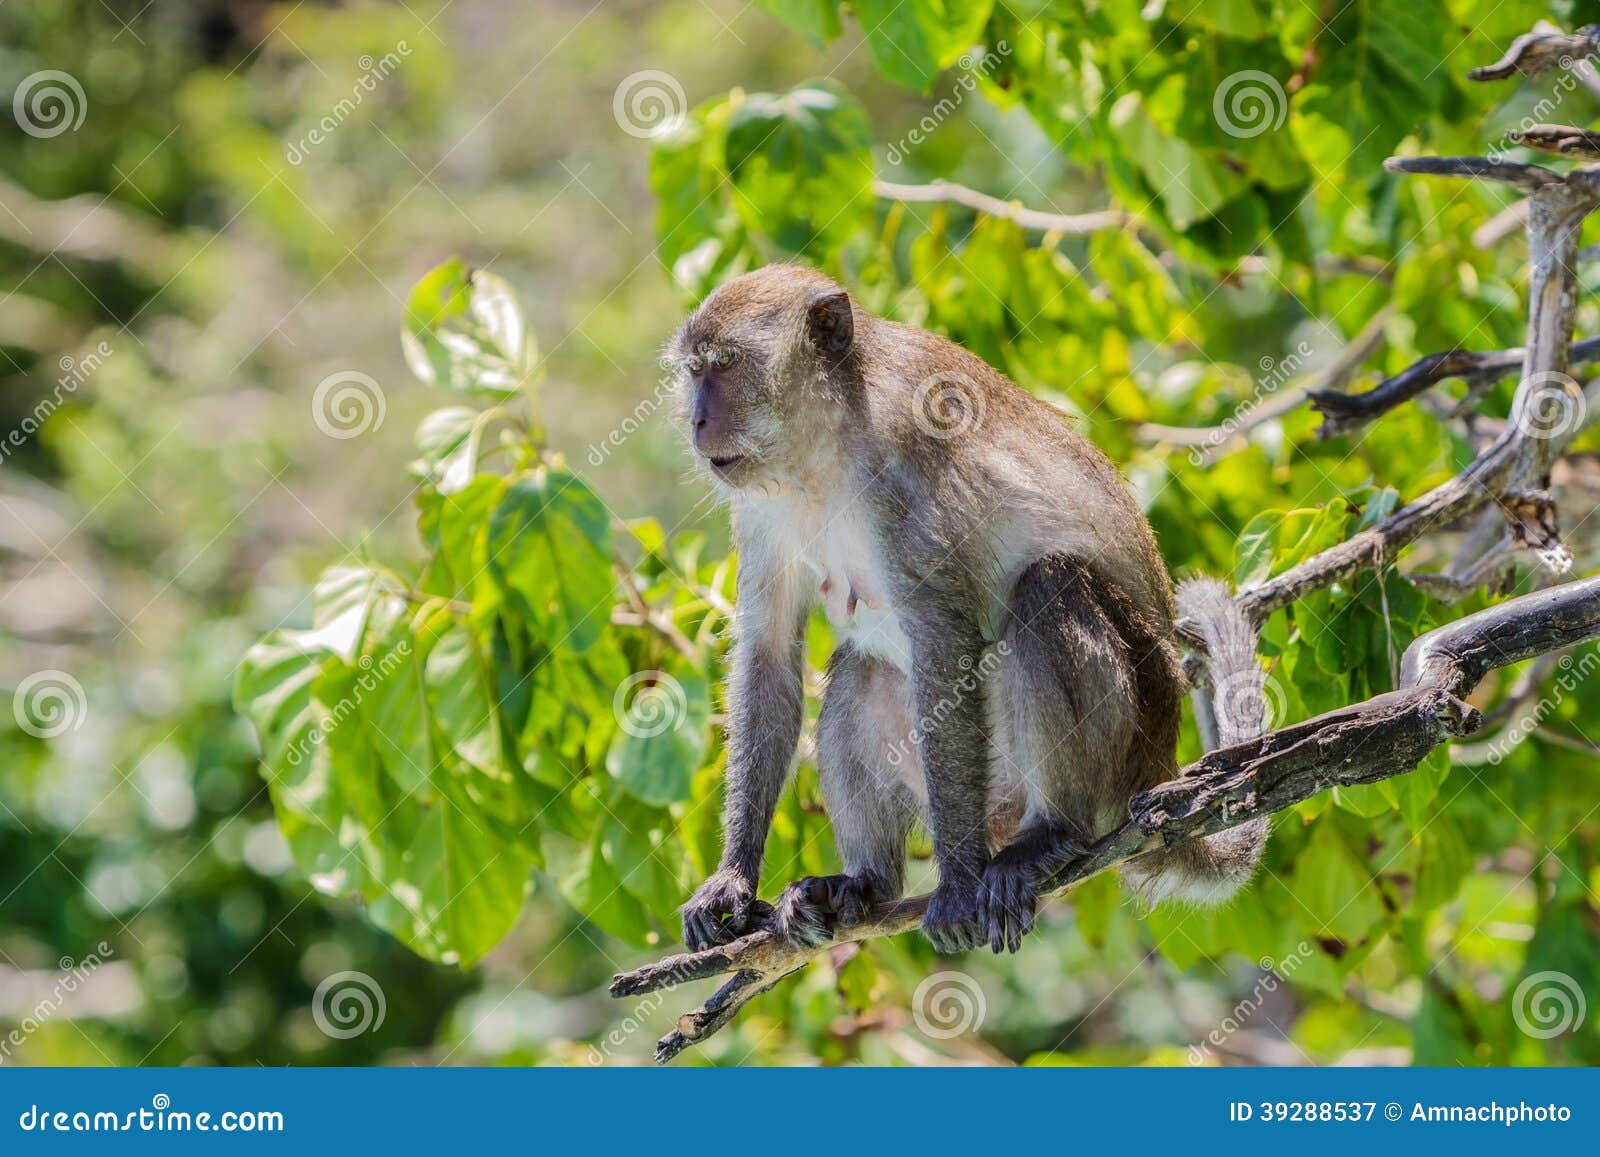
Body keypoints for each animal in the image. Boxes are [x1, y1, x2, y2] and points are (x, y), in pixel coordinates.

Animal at [668, 264, 1268, 955]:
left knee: (1050, 589)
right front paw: (732, 881)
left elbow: (945, 645)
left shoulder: (903, 465)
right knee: (861, 668)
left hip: (1132, 732)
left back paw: (1051, 833)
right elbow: (769, 652)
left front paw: (955, 882)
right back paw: (865, 882)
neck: (827, 443)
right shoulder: (760, 502)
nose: (699, 421)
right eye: (696, 370)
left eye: (728, 364)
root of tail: (1158, 767)